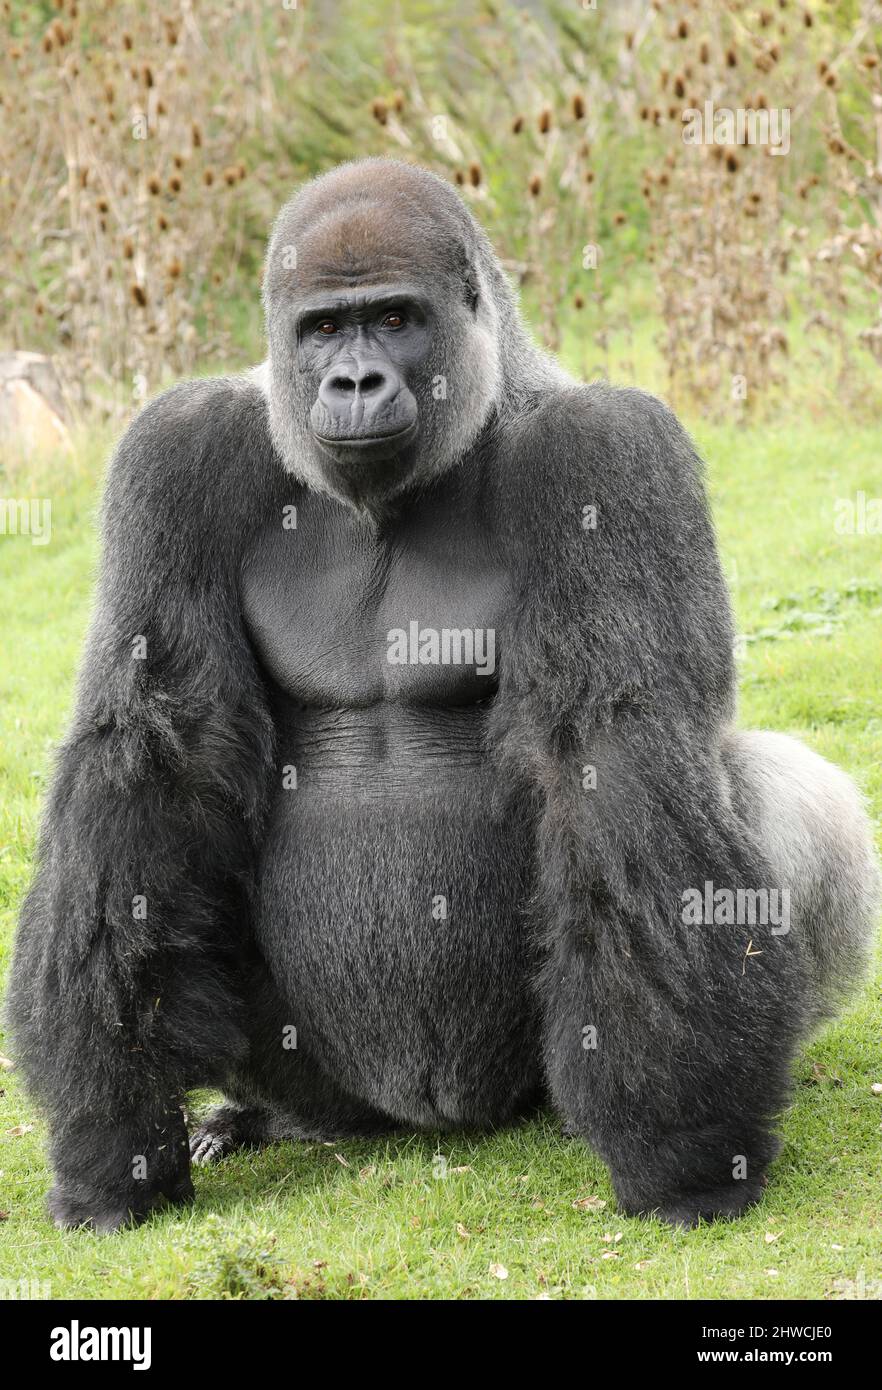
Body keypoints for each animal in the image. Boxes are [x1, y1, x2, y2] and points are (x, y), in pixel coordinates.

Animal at [7, 159, 879, 1232]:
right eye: (323, 330)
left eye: (393, 319)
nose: (354, 381)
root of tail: (418, 1120)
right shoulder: (175, 453)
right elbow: (155, 747)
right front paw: (111, 1137)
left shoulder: (607, 450)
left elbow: (616, 740)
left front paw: (684, 1143)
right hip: (323, 1085)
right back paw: (258, 1119)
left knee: (775, 783)